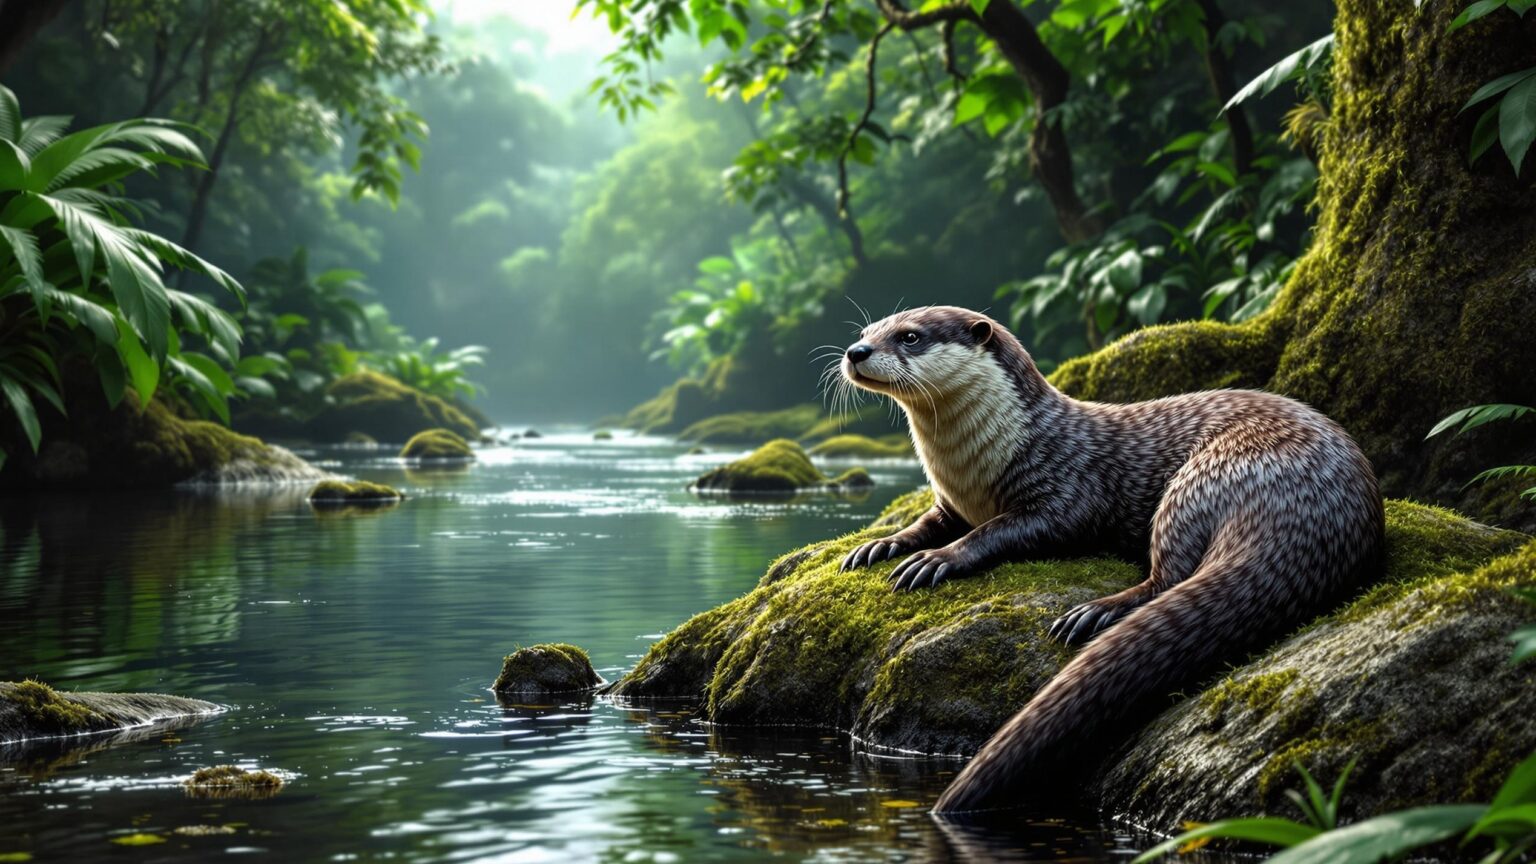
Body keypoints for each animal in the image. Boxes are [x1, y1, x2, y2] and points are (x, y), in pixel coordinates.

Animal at [836, 305, 1383, 815]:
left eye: (910, 336)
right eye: (866, 331)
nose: (856, 352)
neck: (974, 473)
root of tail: (1313, 501)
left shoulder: (1068, 487)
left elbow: (1006, 530)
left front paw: (939, 558)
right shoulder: (951, 502)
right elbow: (925, 522)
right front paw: (878, 545)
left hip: (1200, 481)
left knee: (1166, 578)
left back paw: (1094, 612)